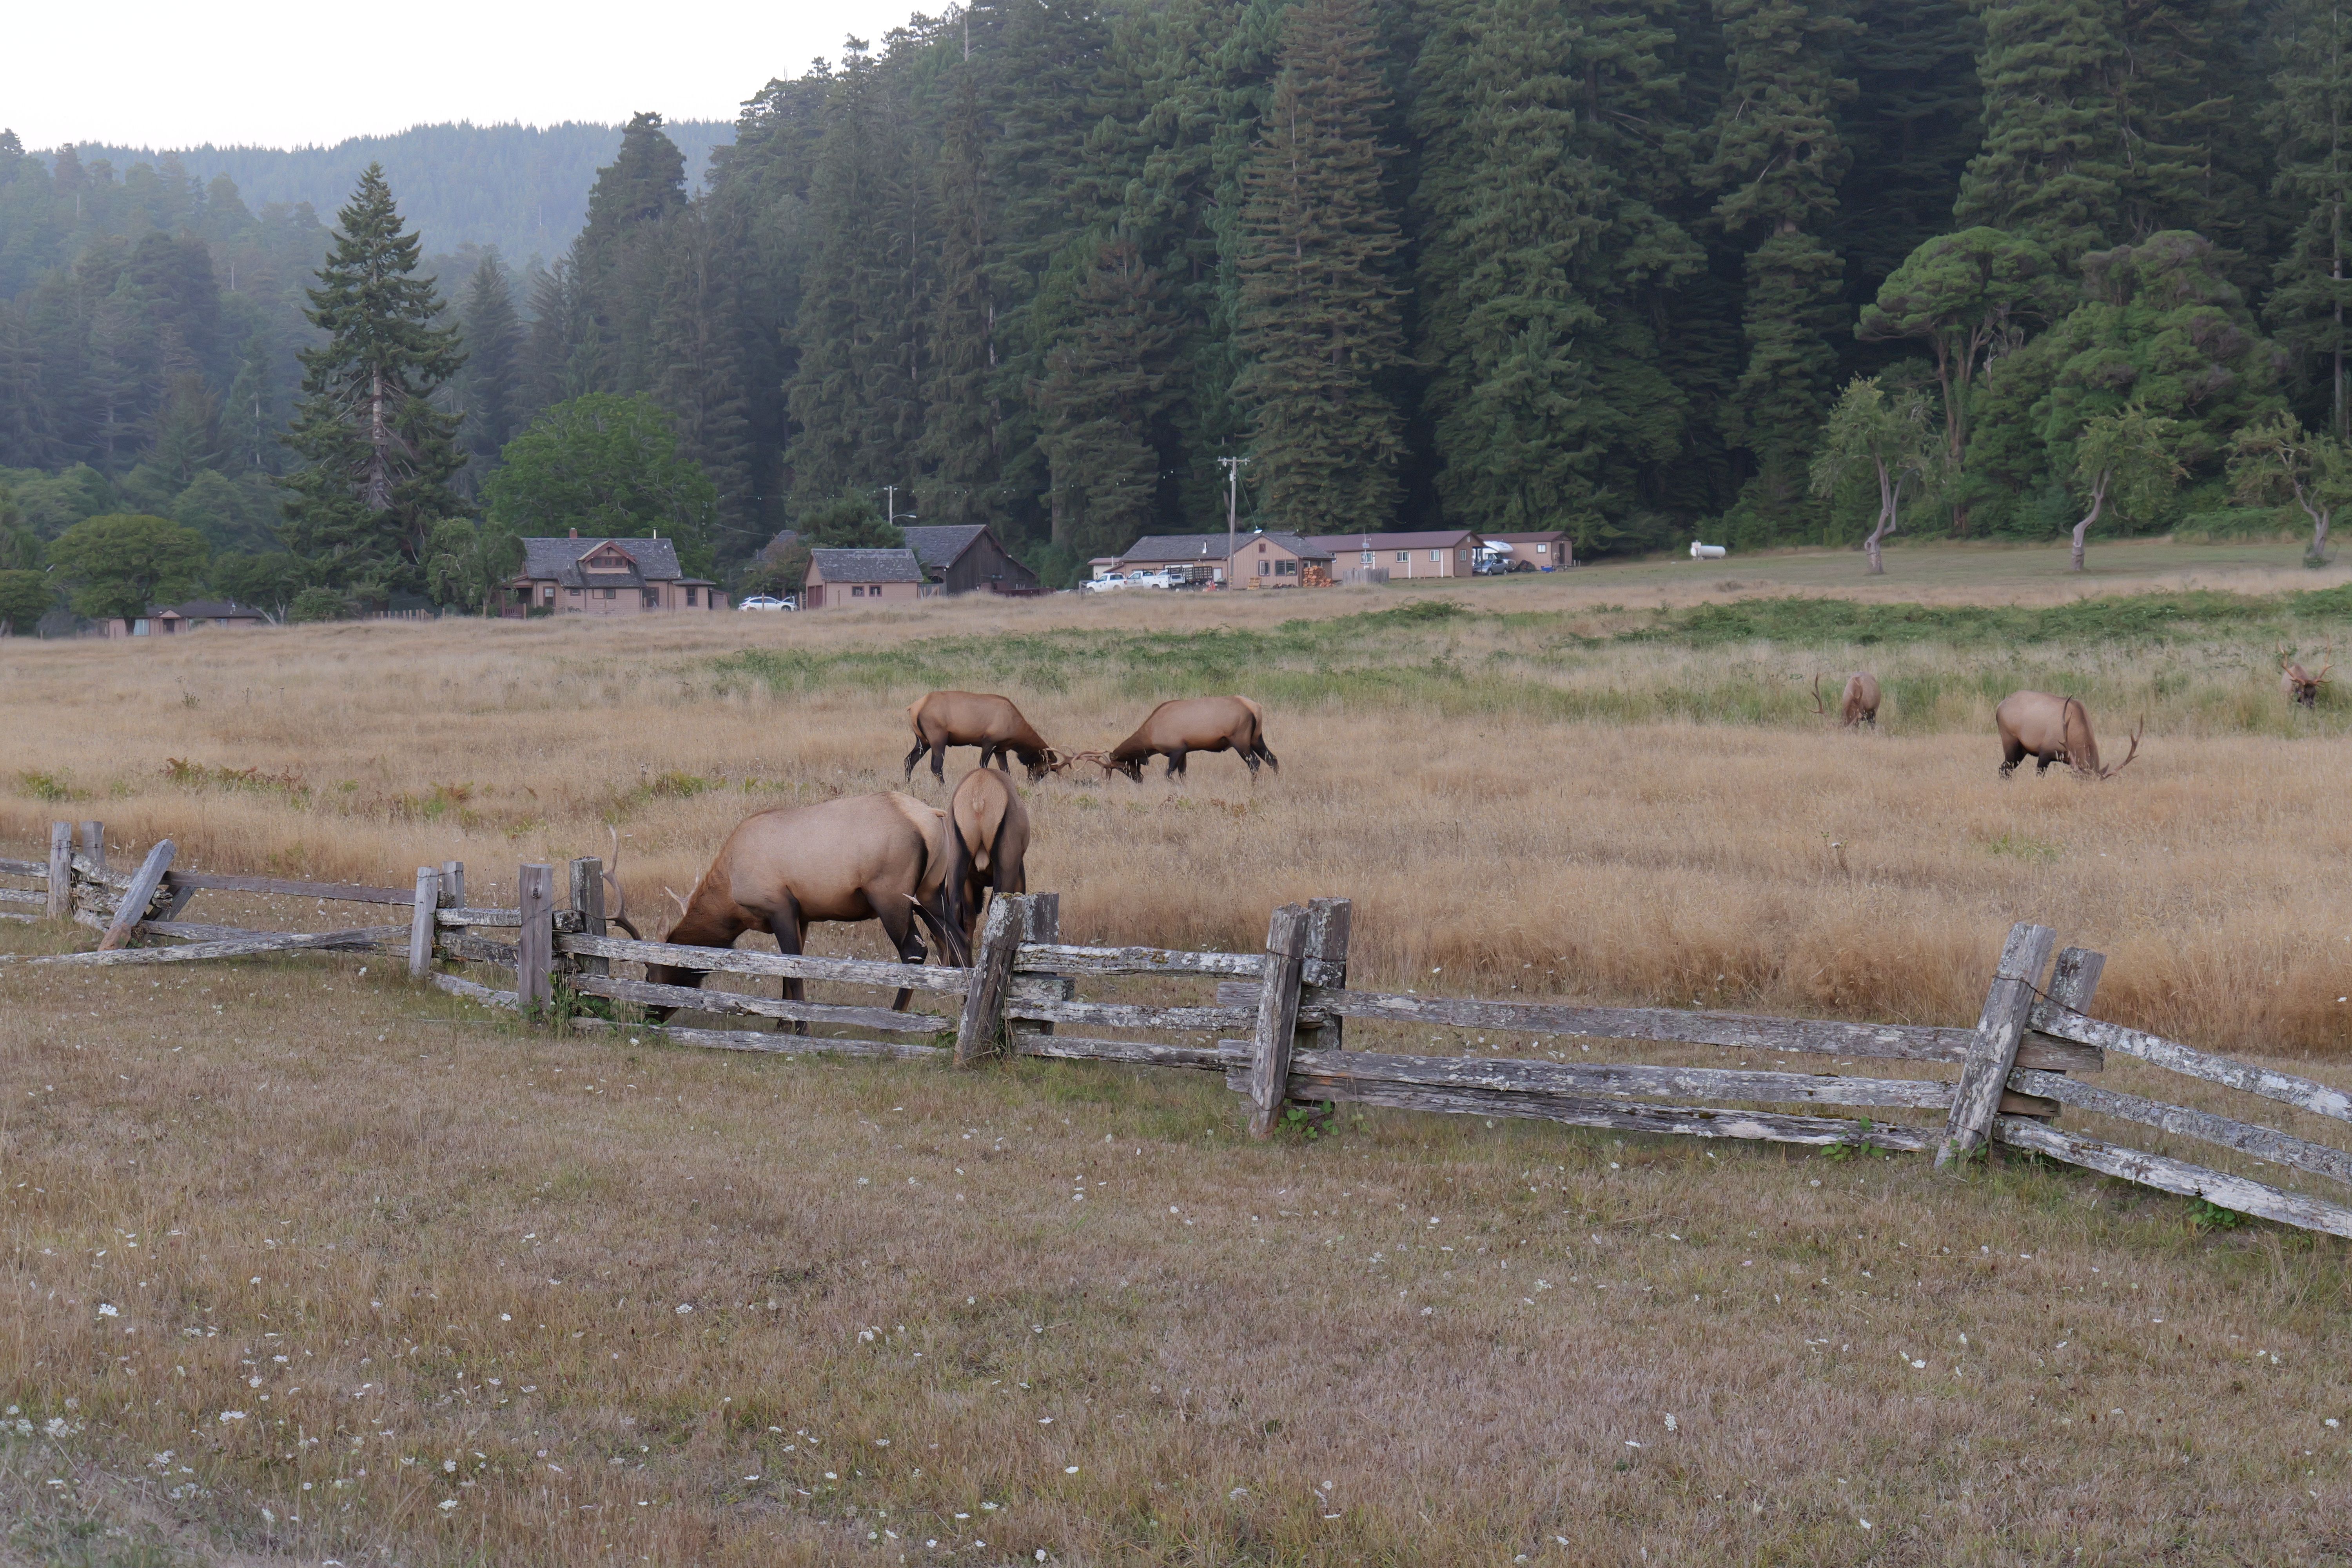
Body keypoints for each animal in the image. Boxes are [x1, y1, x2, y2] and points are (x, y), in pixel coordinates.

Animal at [904, 691, 1061, 783]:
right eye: (1045, 770)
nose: (1032, 782)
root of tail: (914, 707)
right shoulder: (989, 742)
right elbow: (983, 766)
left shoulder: (1000, 749)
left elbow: (1006, 771)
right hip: (938, 738)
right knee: (936, 767)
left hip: (923, 741)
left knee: (909, 760)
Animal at [1103, 696, 1278, 781]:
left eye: (1120, 766)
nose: (1138, 779)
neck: (1150, 737)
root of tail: (1255, 708)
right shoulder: (1185, 751)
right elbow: (1183, 774)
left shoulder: (1176, 750)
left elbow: (1169, 774)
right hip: (1256, 739)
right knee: (1273, 759)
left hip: (1240, 740)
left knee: (1255, 763)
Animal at [1995, 692, 2142, 780]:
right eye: (2081, 783)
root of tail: (1999, 706)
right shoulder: (2045, 752)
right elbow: (2039, 775)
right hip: (2010, 740)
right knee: (2004, 769)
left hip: (2023, 749)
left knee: (2005, 769)